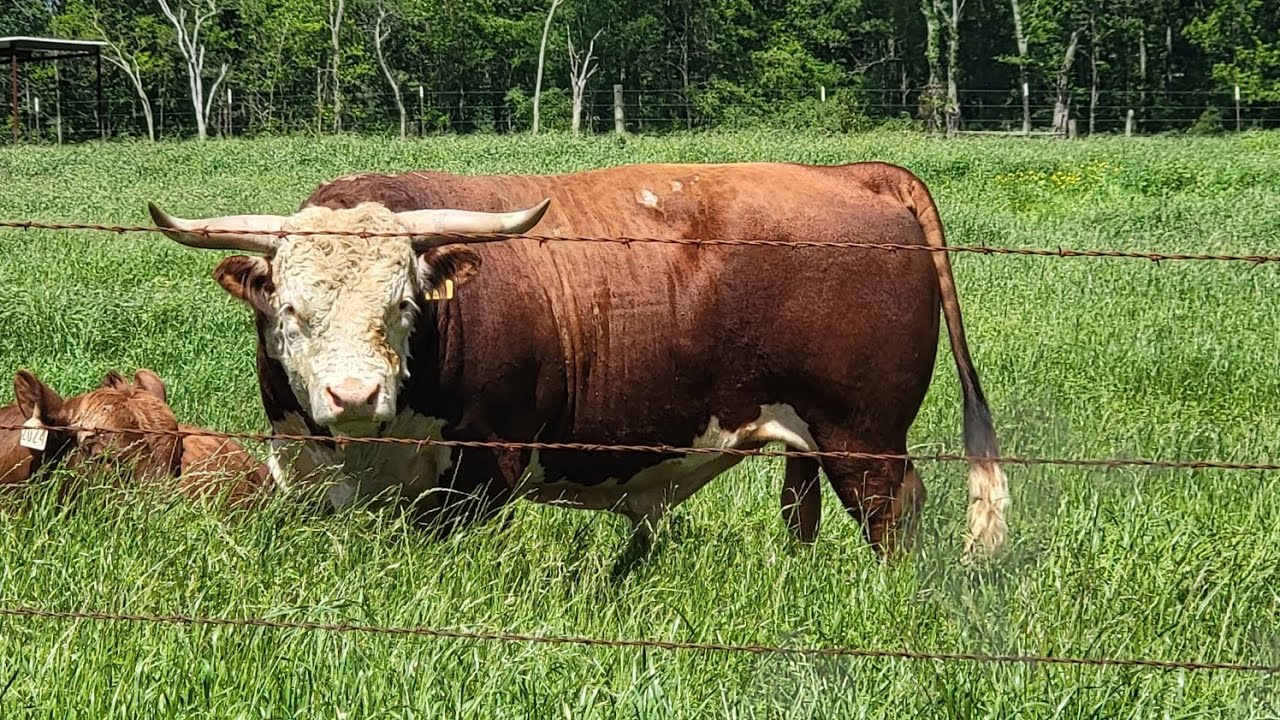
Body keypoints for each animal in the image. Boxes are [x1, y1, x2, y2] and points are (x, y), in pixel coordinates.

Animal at [145, 160, 1010, 562]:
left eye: (404, 304)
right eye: (291, 310)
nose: (354, 394)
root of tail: (849, 175)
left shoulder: (482, 470)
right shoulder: (306, 467)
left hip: (863, 435)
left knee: (892, 511)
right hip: (808, 430)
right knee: (803, 511)